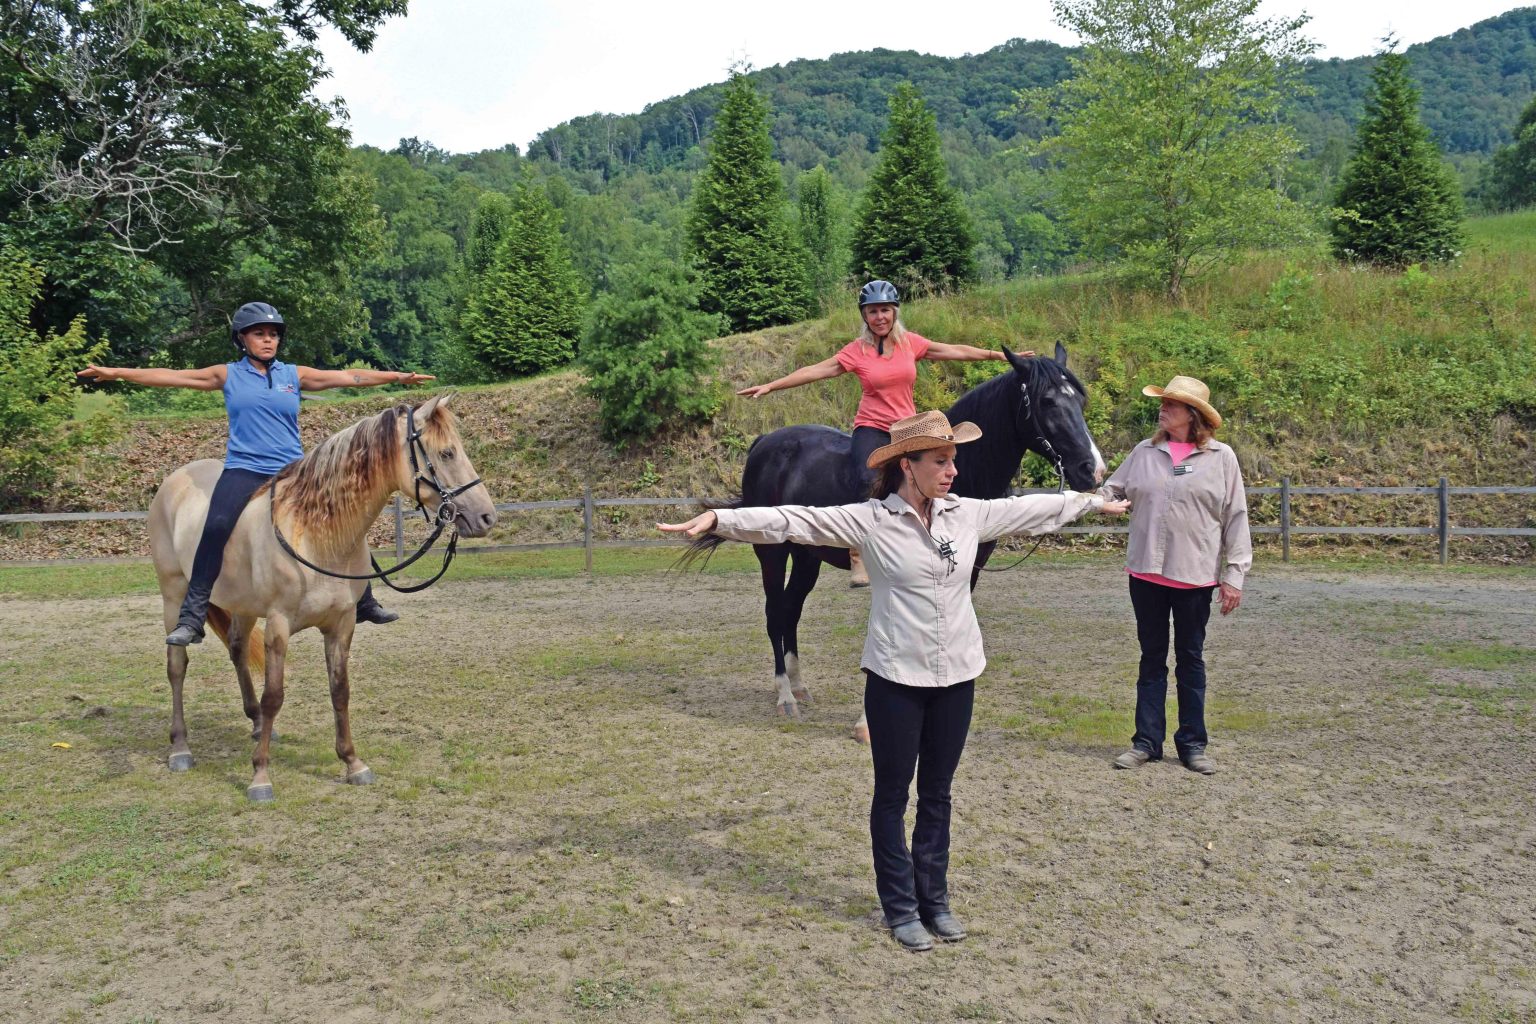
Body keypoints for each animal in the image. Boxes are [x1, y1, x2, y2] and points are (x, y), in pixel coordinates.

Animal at [148, 394, 496, 801]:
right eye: (446, 453)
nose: (487, 517)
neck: (316, 532)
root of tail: (174, 480)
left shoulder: (340, 625)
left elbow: (340, 690)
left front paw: (353, 763)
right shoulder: (278, 626)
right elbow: (275, 695)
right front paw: (260, 776)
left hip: (242, 606)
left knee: (237, 649)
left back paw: (256, 725)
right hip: (173, 595)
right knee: (177, 666)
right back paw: (180, 748)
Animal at [695, 344, 1105, 739]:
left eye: (1080, 400)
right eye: (1047, 401)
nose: (1093, 470)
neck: (958, 475)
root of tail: (765, 442)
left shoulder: (967, 571)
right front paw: (867, 724)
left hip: (807, 555)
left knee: (791, 611)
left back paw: (799, 687)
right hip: (772, 553)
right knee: (775, 613)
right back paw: (785, 697)